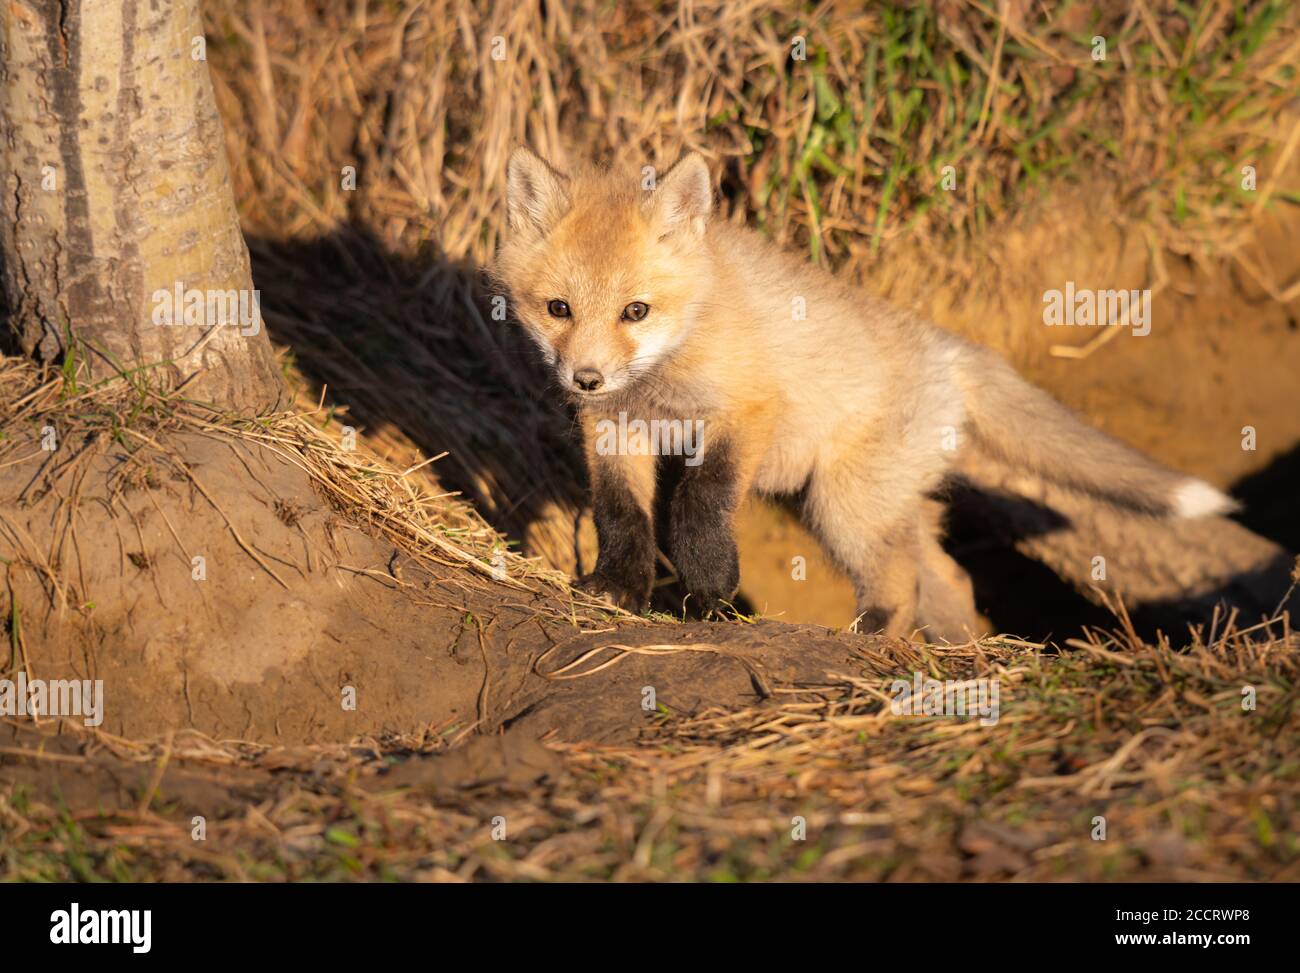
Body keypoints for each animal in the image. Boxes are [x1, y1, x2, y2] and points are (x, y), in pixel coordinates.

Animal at [494, 147, 1238, 640]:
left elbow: (698, 507)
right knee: (946, 576)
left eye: (636, 311)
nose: (585, 379)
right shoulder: (614, 431)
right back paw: (957, 653)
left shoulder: (744, 413)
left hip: (841, 503)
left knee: (903, 579)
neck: (670, 366)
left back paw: (878, 632)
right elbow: (622, 515)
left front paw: (708, 596)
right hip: (852, 503)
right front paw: (619, 588)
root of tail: (944, 347)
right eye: (558, 309)